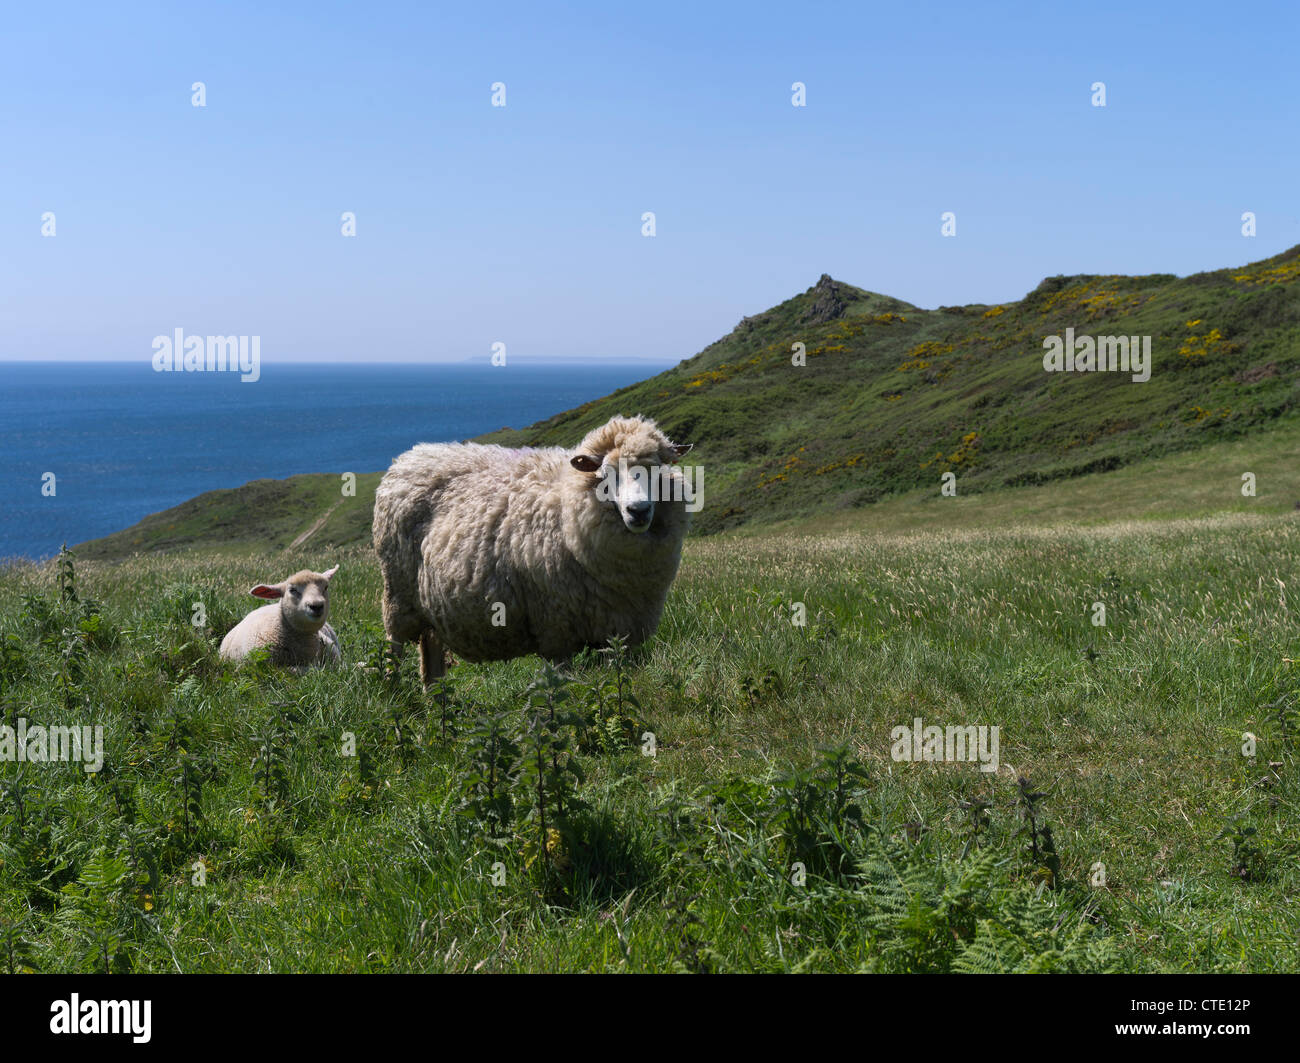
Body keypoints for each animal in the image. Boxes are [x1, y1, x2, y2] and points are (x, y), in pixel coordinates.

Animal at [373, 415, 694, 684]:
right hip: (397, 593)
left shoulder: (615, 630)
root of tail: (410, 456)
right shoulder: (557, 629)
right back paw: (395, 695)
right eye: (607, 473)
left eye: (658, 470)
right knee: (394, 646)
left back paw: (435, 703)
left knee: (431, 654)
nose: (638, 511)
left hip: (430, 606)